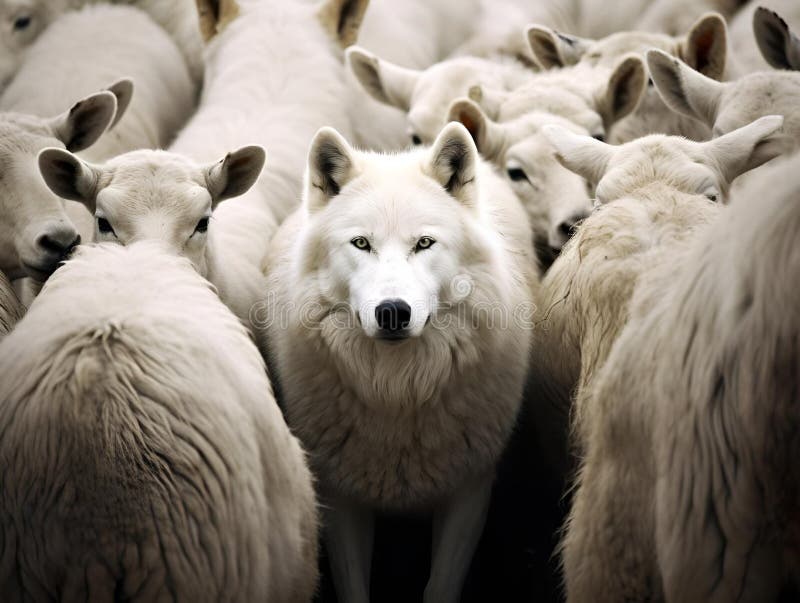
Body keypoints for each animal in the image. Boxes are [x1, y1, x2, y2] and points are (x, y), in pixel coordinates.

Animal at [260, 122, 539, 603]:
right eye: (361, 243)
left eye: (424, 243)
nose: (393, 311)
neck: (397, 394)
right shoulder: (341, 495)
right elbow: (355, 590)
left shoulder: (469, 491)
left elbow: (440, 587)